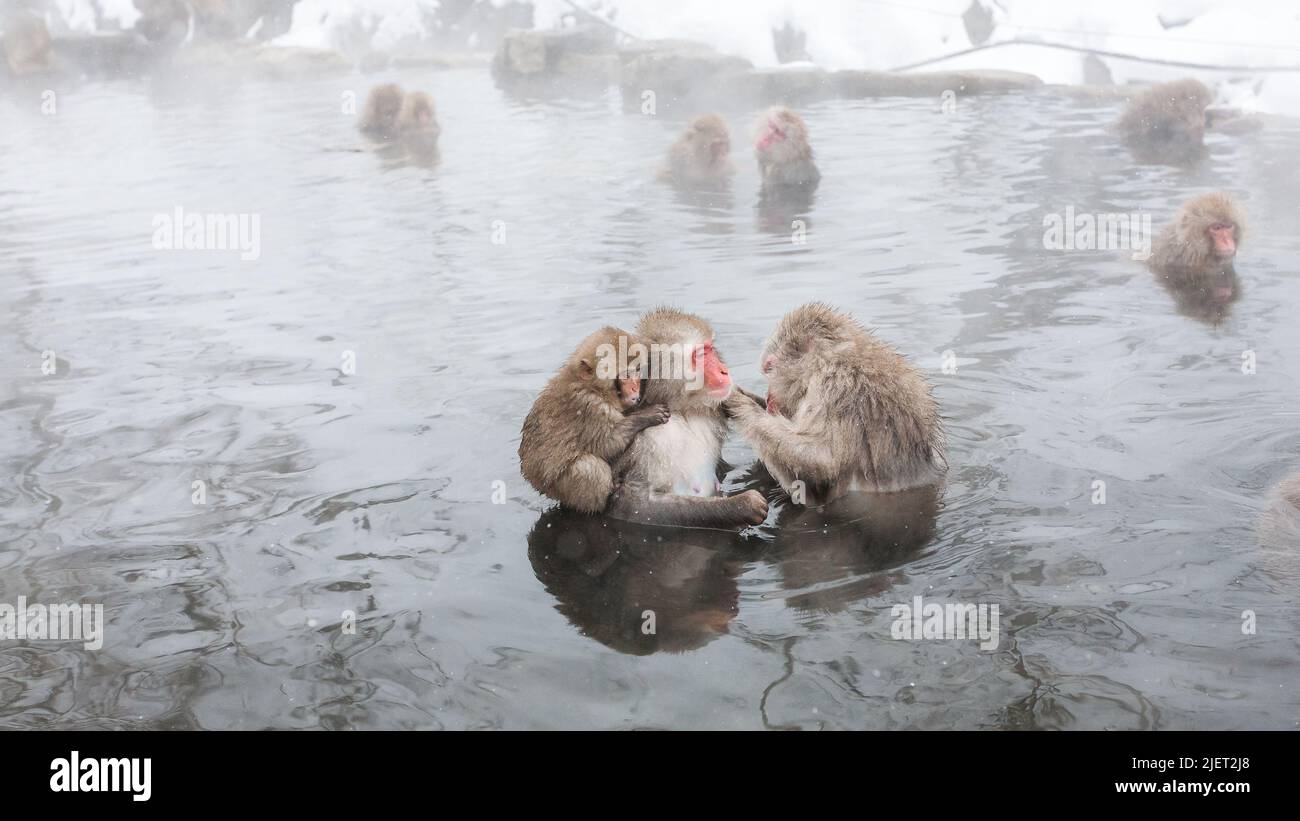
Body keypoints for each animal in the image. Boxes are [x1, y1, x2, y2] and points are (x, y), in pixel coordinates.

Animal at [519, 327, 670, 515]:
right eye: (625, 376)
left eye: (636, 370)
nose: (635, 388)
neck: (592, 388)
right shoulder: (590, 408)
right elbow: (606, 443)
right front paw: (648, 414)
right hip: (561, 488)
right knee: (587, 468)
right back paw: (610, 490)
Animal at [606, 308, 769, 529]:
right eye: (700, 355)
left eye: (710, 349)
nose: (724, 370)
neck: (683, 412)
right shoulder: (649, 438)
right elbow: (633, 504)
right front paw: (744, 504)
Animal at [724, 303, 946, 506]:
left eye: (769, 367)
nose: (769, 395)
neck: (835, 357)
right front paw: (749, 397)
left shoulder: (835, 388)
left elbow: (823, 465)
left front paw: (739, 403)